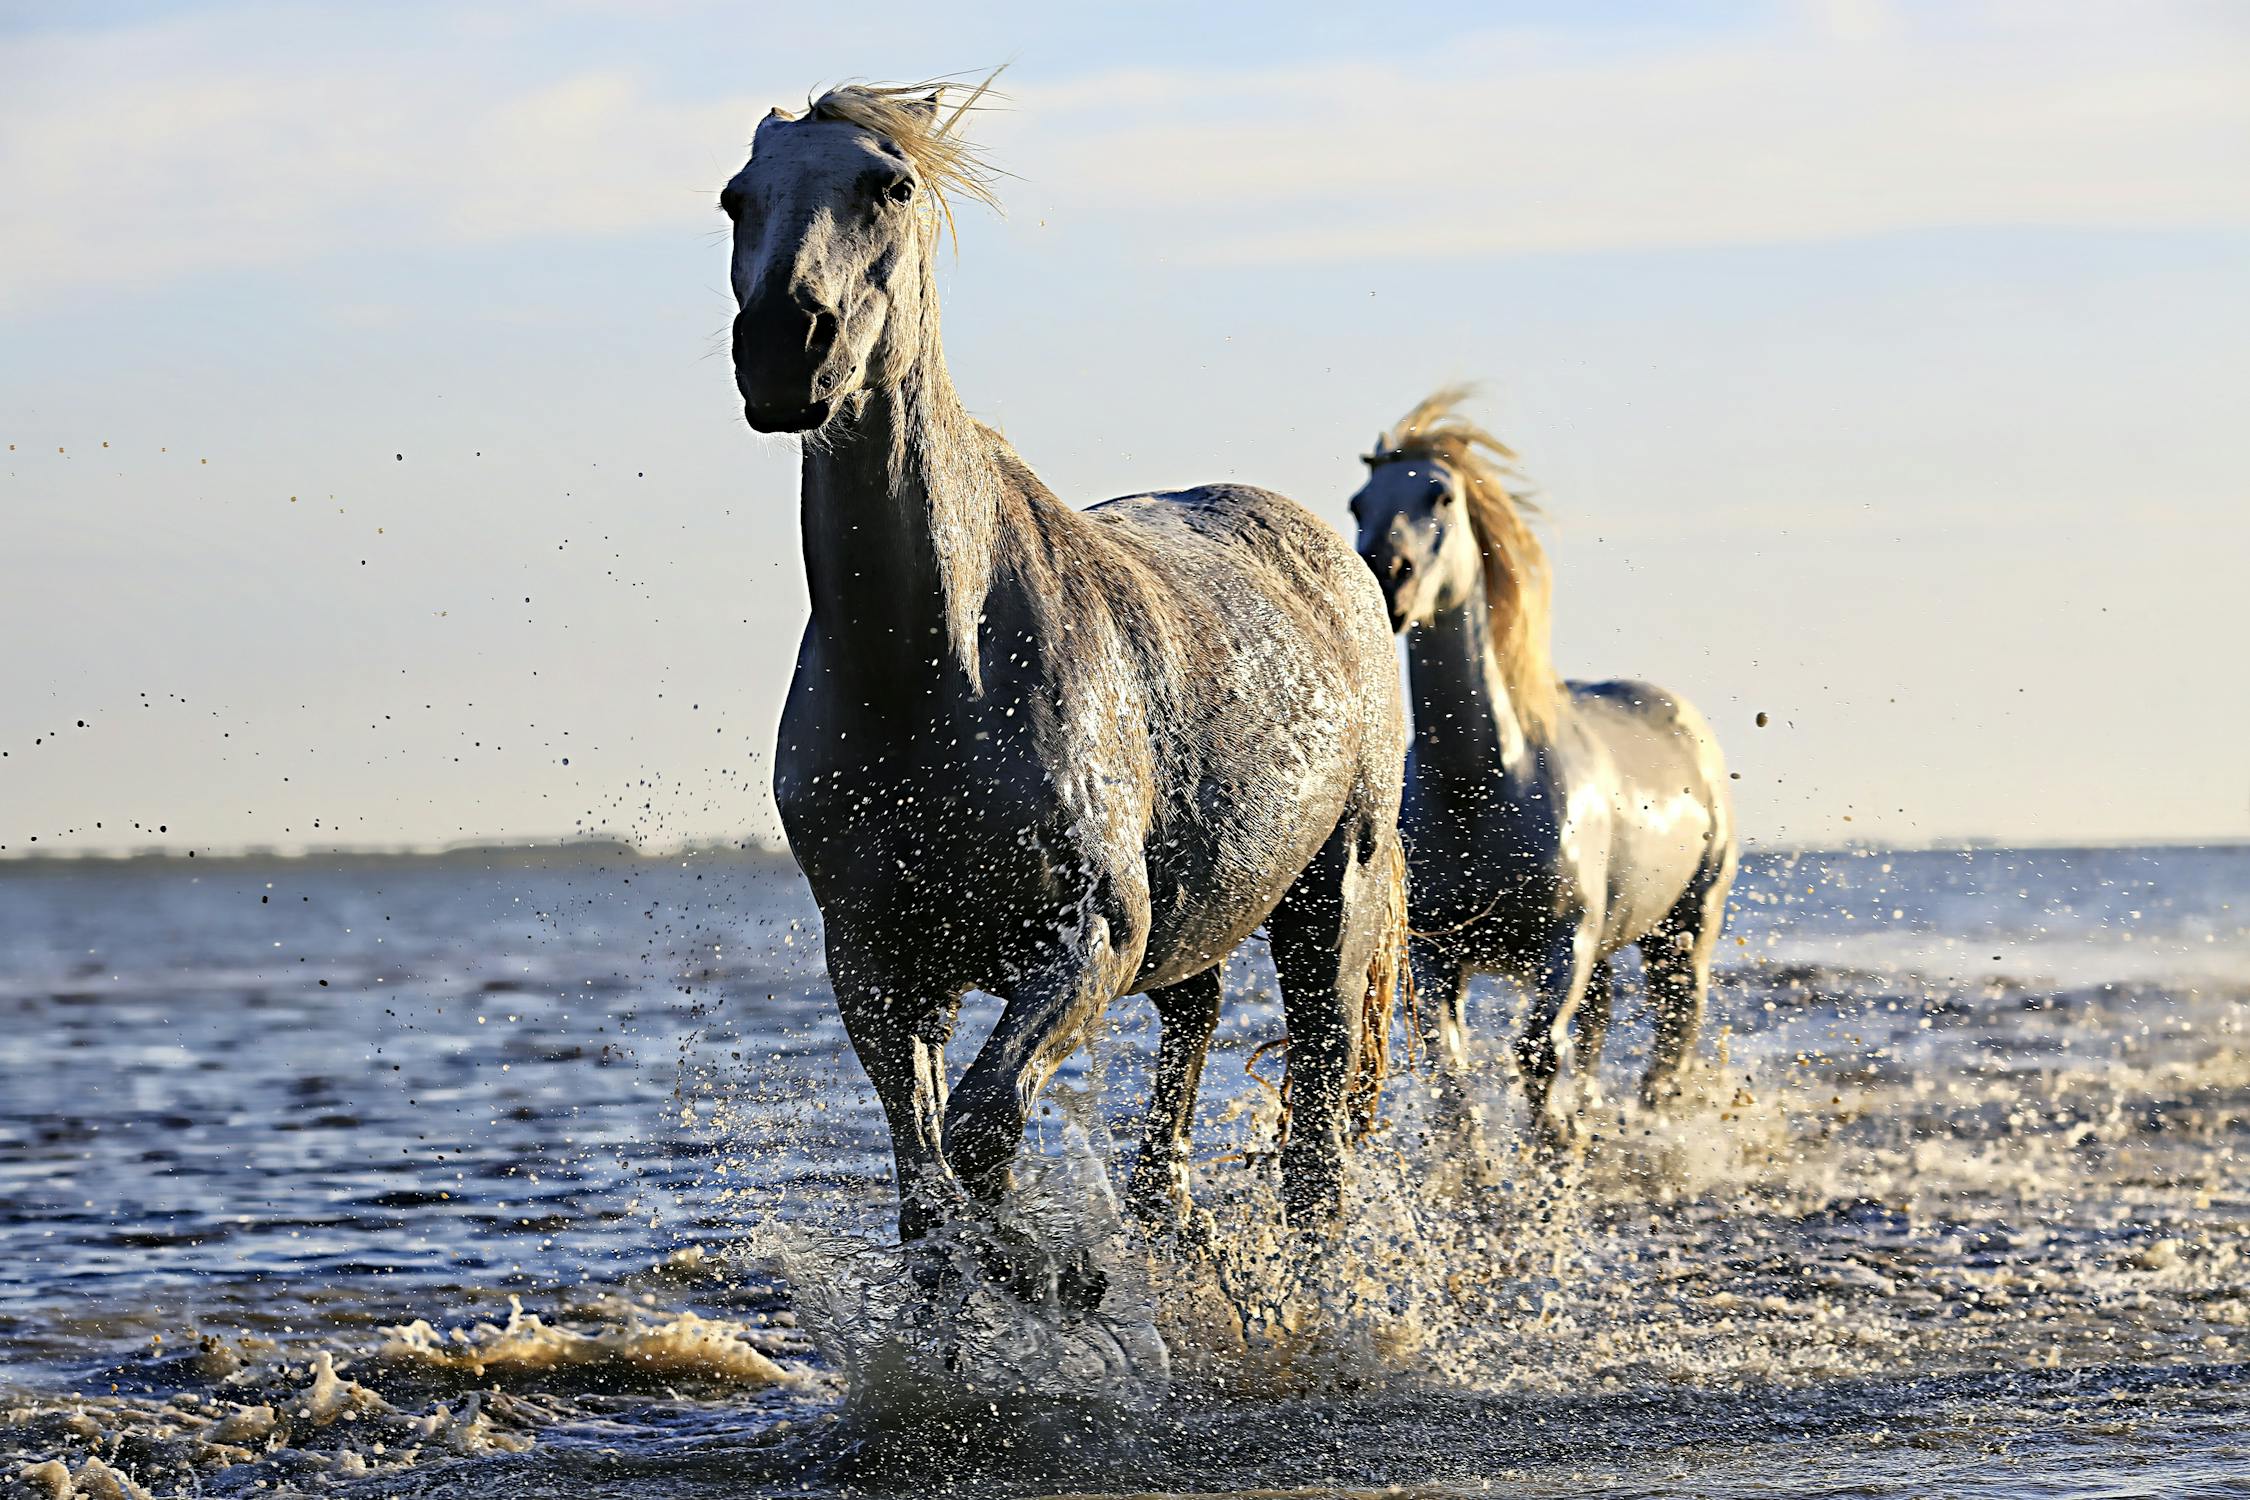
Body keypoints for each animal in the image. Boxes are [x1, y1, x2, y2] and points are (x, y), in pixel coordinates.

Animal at [721, 79, 1409, 1270]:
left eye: (888, 186)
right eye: (735, 198)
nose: (782, 346)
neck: (931, 673)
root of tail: (1335, 563)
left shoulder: (1089, 939)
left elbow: (985, 1131)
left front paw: (1043, 1281)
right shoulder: (879, 966)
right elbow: (928, 1189)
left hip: (1334, 901)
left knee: (1317, 1151)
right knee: (1189, 1052)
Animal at [1347, 388, 1737, 1155]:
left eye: (1440, 495)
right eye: (1358, 503)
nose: (1386, 575)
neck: (1482, 786)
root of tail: (1685, 721)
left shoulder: (1566, 941)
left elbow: (1535, 1055)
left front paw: (1555, 1144)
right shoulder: (1440, 953)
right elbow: (1451, 1071)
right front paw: (1479, 1169)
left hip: (1684, 930)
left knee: (1673, 1031)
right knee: (1601, 1021)